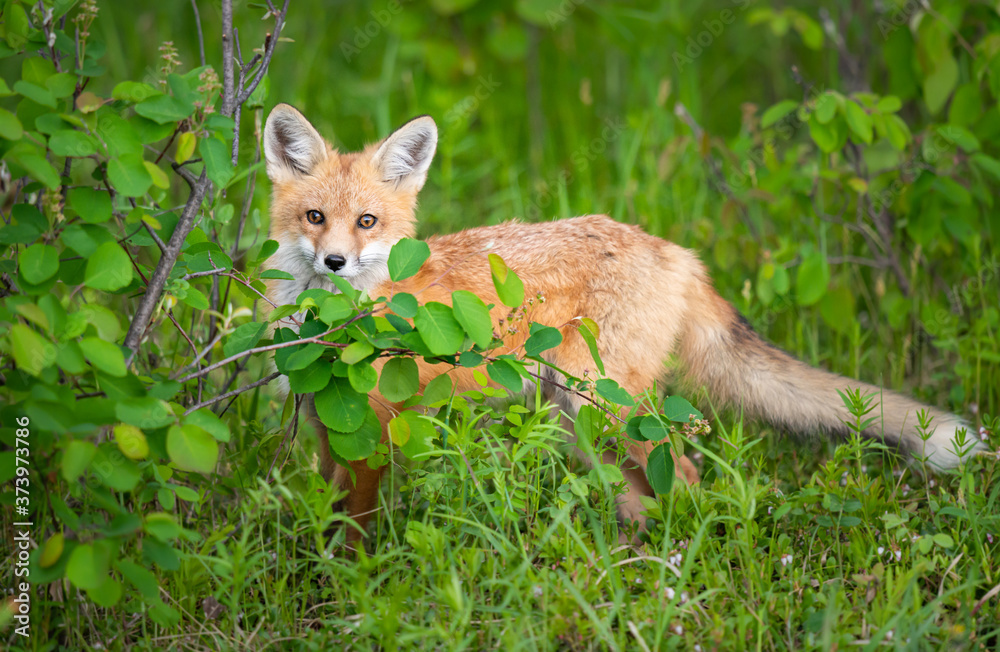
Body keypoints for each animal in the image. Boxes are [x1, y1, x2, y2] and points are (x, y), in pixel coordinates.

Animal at [262, 103, 985, 543]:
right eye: (315, 217)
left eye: (367, 222)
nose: (334, 261)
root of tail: (678, 253)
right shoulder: (329, 428)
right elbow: (326, 514)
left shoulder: (374, 433)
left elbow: (354, 536)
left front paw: (352, 590)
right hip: (580, 420)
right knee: (645, 496)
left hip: (598, 404)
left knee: (686, 479)